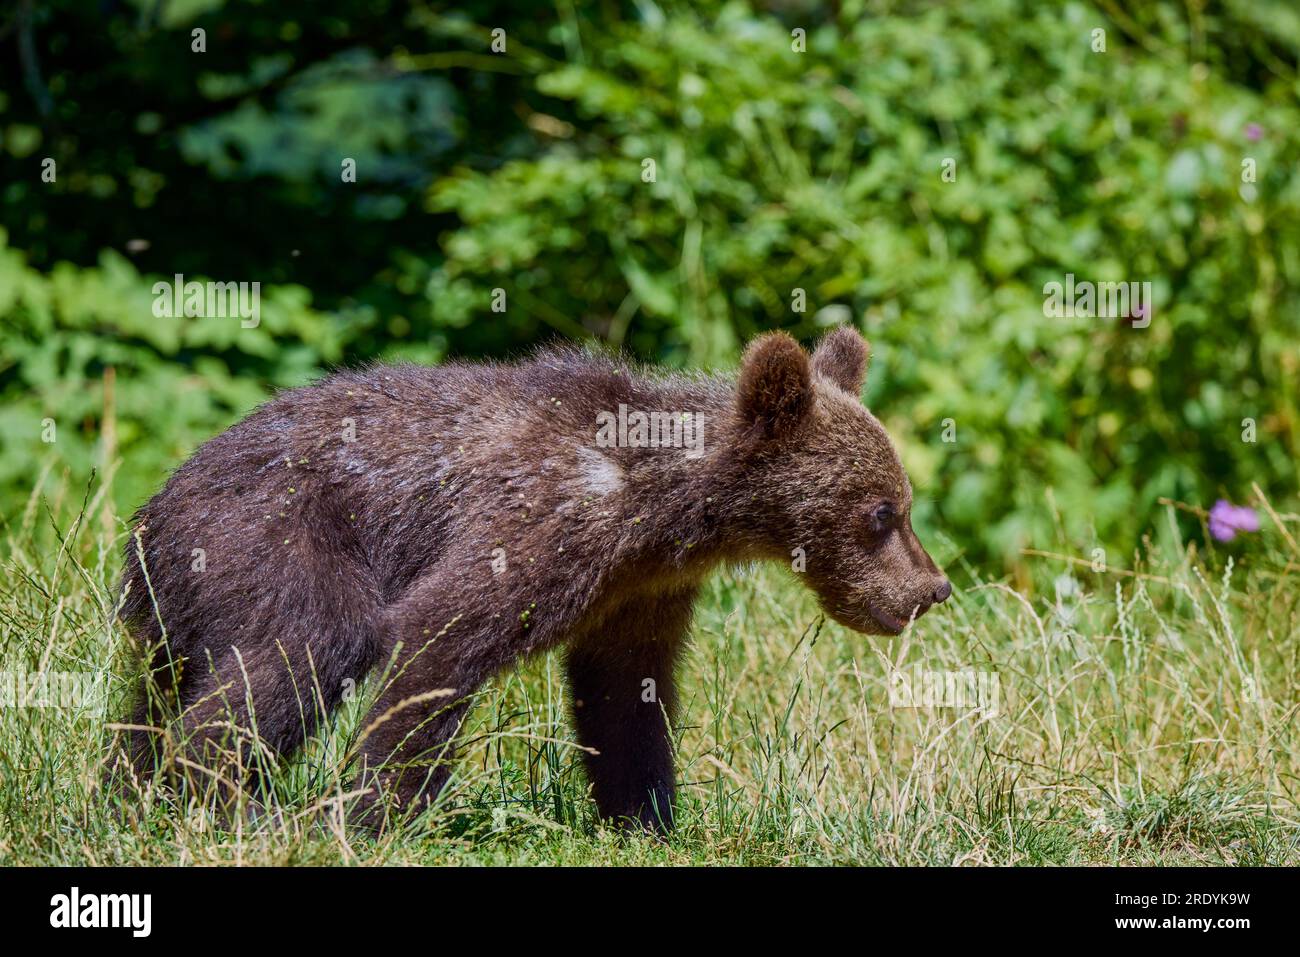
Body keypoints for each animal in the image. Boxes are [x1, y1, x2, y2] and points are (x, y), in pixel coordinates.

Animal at [109, 326, 950, 833]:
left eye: (904, 501)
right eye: (883, 510)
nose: (932, 588)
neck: (662, 505)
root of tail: (154, 511)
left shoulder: (639, 588)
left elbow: (627, 693)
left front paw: (646, 815)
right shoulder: (538, 525)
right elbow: (438, 636)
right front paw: (377, 811)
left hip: (181, 606)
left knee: (152, 702)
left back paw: (136, 791)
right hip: (276, 536)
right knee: (302, 649)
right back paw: (221, 802)